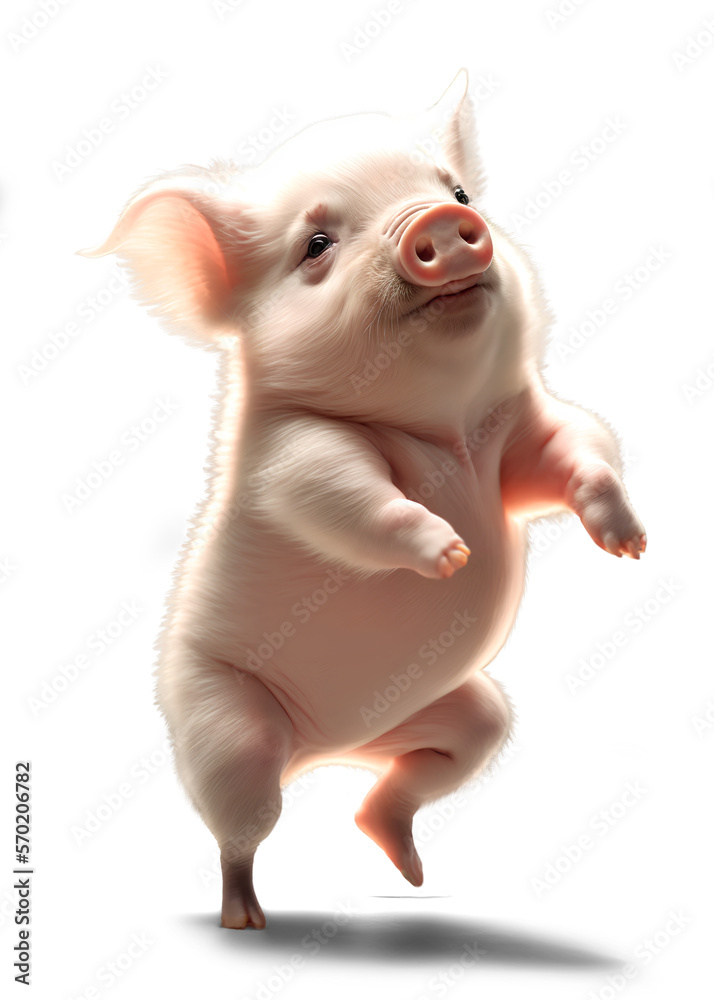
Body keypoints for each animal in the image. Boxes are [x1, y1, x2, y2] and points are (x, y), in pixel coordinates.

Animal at [79, 69, 646, 930]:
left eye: (459, 194)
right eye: (316, 245)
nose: (440, 221)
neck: (444, 431)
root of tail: (323, 748)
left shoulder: (521, 427)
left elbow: (581, 450)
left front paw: (630, 545)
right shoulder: (291, 457)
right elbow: (344, 497)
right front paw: (450, 553)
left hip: (454, 714)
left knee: (422, 772)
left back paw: (406, 868)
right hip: (222, 720)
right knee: (240, 829)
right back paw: (246, 919)